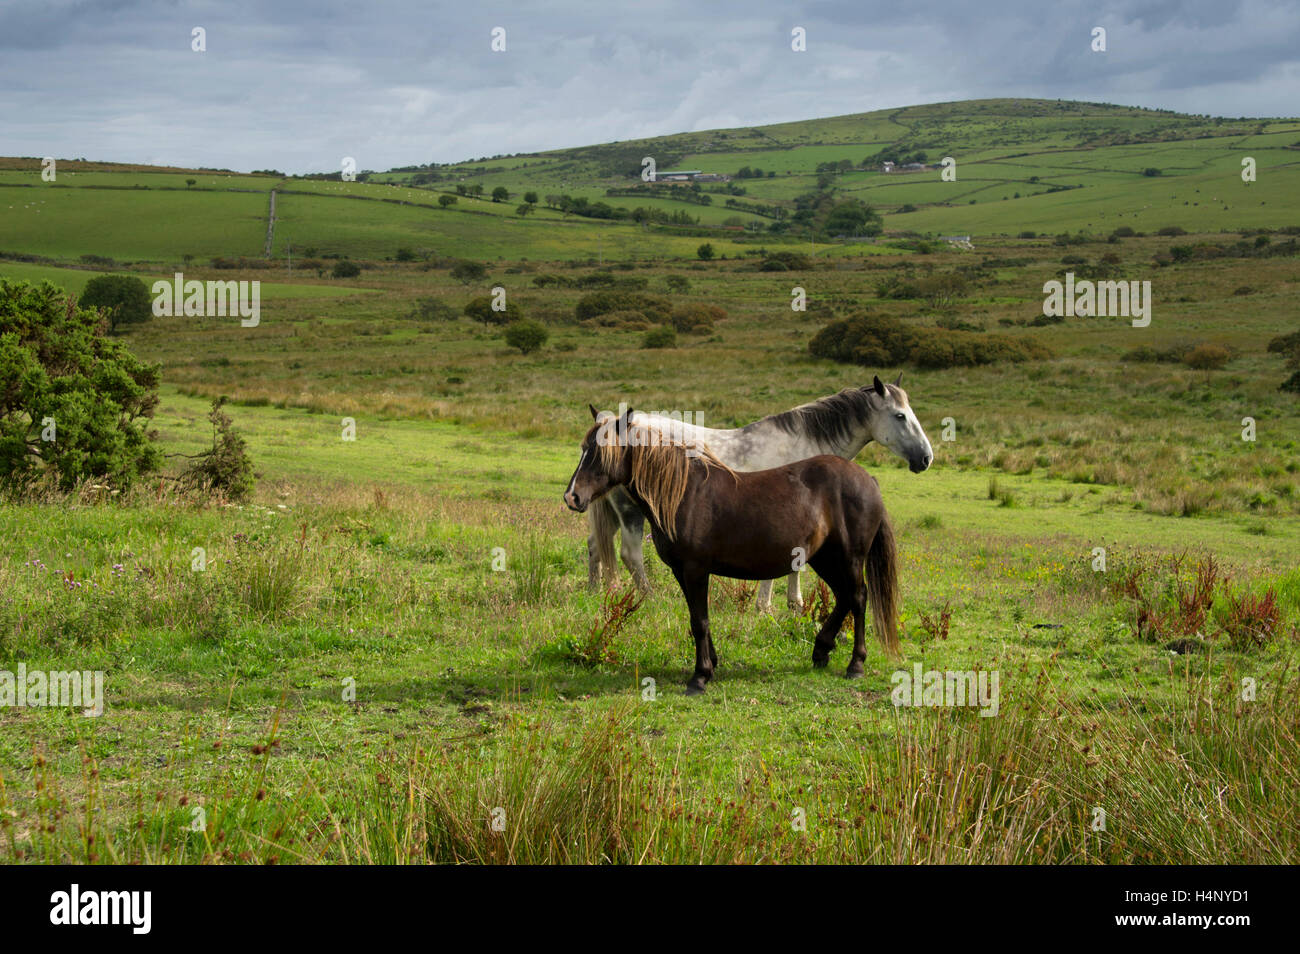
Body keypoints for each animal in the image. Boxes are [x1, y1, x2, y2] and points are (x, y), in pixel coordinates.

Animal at [565, 407, 900, 695]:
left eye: (599, 453)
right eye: (583, 449)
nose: (572, 497)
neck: (685, 494)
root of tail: (866, 478)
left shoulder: (696, 569)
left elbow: (700, 621)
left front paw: (699, 677)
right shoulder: (681, 571)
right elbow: (696, 618)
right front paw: (711, 664)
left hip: (850, 557)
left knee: (858, 597)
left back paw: (855, 664)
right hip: (824, 558)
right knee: (845, 596)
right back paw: (821, 650)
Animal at [585, 375, 930, 614]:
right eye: (900, 415)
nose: (926, 458)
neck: (806, 447)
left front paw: (794, 604)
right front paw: (766, 607)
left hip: (611, 512)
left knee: (595, 546)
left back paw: (596, 591)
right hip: (631, 513)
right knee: (630, 554)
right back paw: (650, 597)